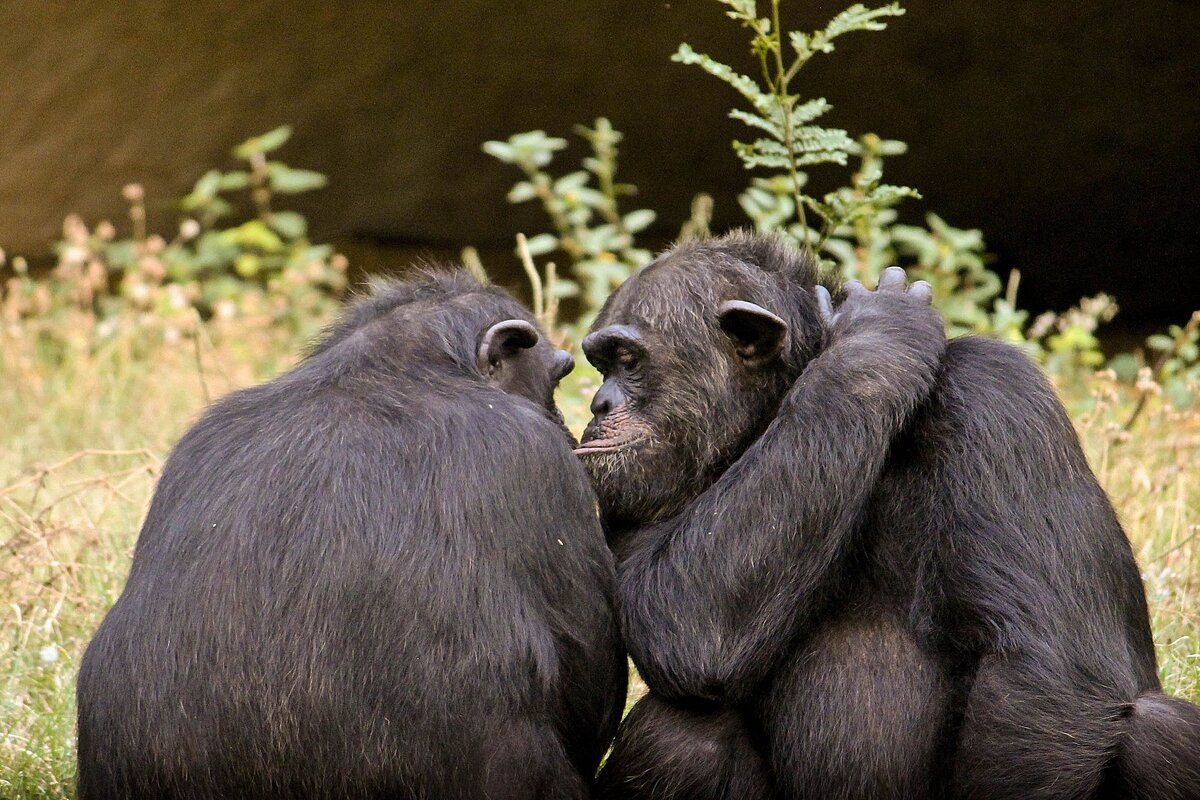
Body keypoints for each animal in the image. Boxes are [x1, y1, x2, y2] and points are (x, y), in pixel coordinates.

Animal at [580, 231, 1200, 800]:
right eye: (600, 362)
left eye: (627, 360)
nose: (598, 403)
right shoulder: (628, 487)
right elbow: (675, 613)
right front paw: (877, 342)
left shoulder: (997, 391)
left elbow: (1049, 669)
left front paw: (877, 331)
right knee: (680, 737)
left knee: (1159, 735)